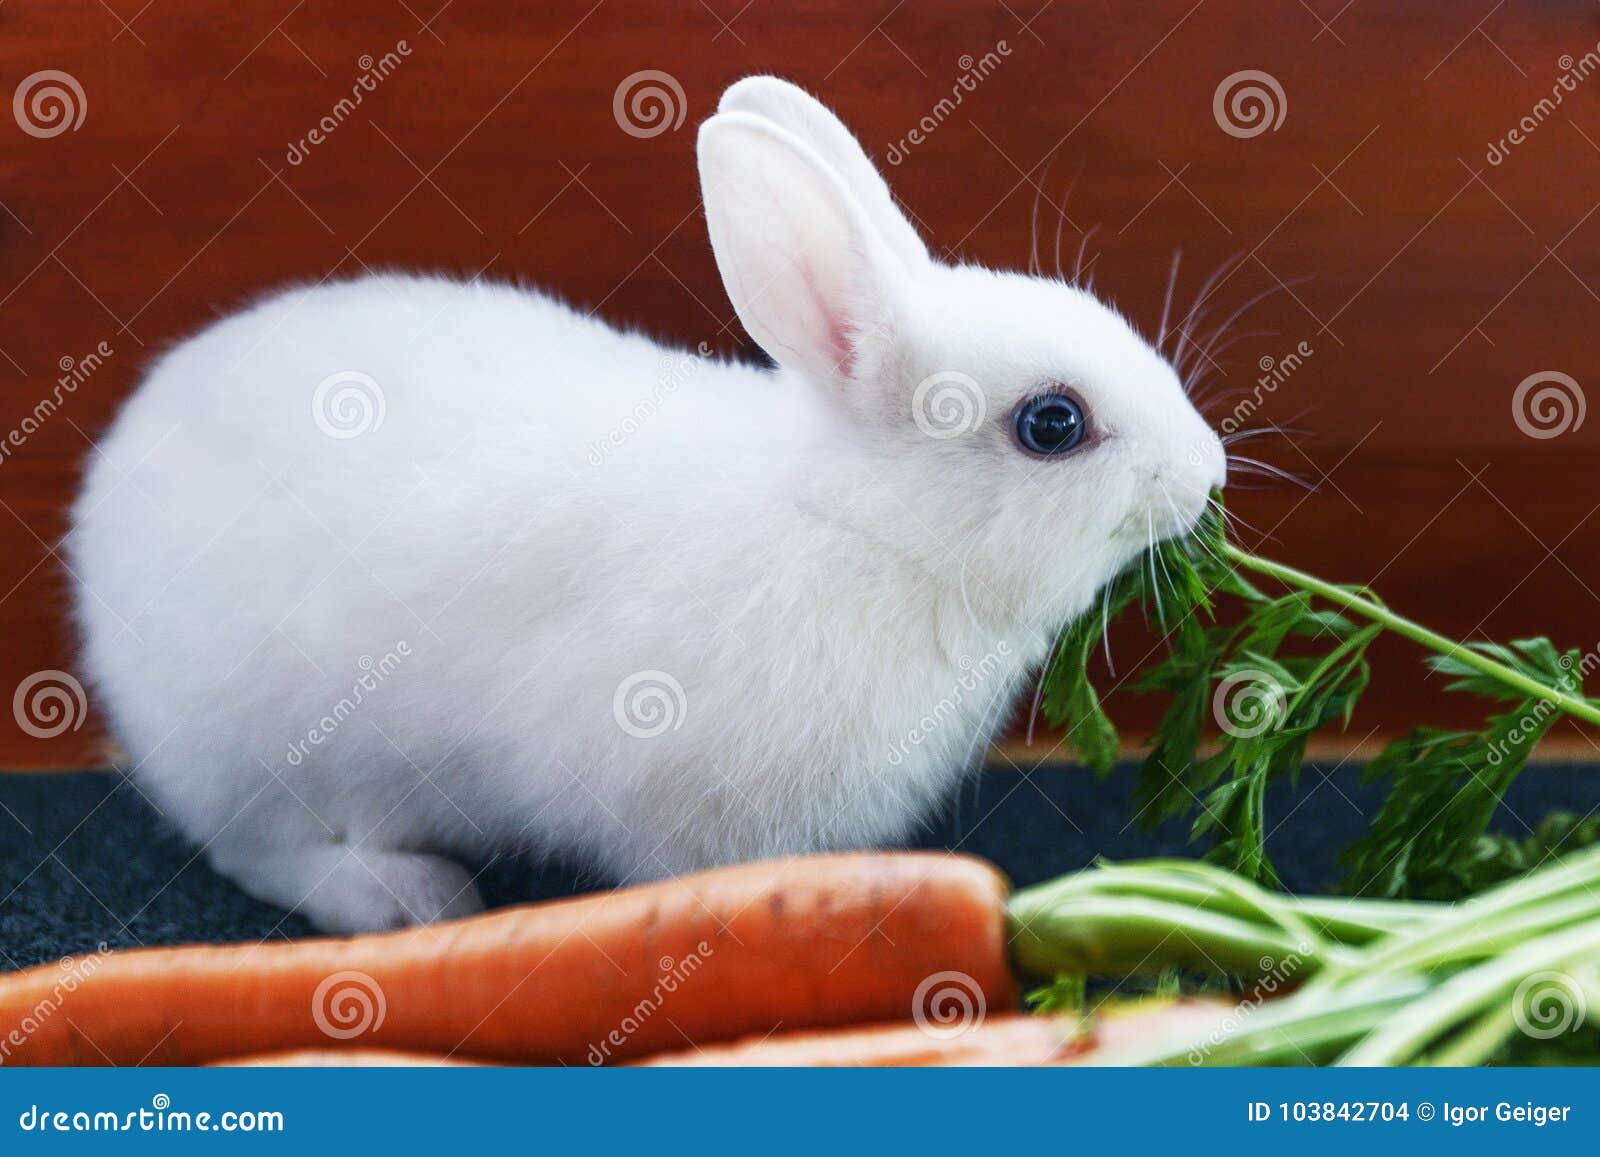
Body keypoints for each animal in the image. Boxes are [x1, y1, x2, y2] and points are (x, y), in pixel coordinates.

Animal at [68, 76, 1226, 934]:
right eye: (1051, 423)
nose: (1206, 471)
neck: (855, 526)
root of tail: (110, 485)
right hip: (258, 750)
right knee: (265, 849)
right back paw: (414, 897)